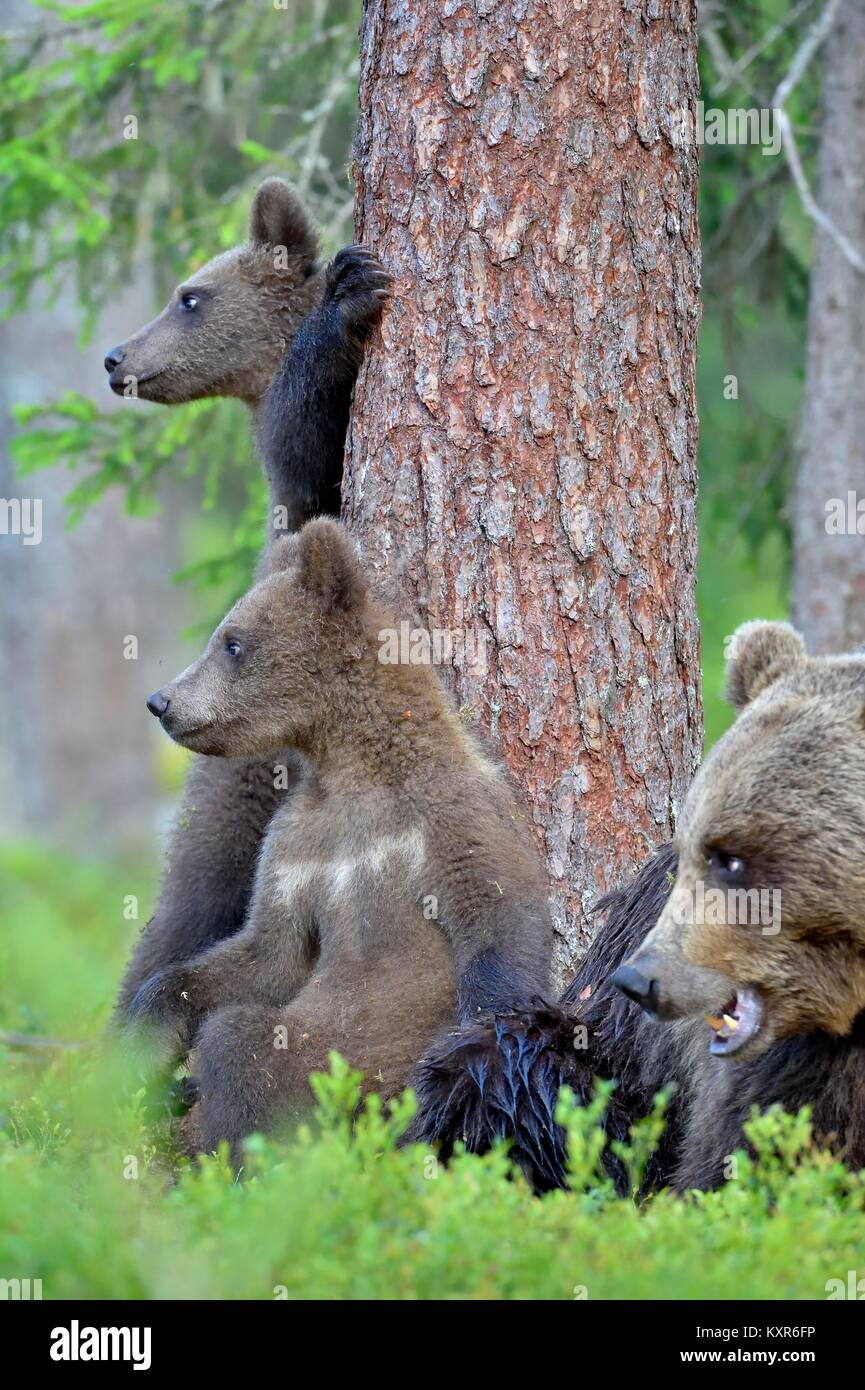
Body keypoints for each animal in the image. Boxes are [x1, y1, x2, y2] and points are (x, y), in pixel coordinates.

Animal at [111, 180, 391, 1016]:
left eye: (188, 296)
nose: (114, 356)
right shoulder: (301, 482)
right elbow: (307, 449)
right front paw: (351, 289)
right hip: (237, 789)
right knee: (192, 901)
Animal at [131, 518, 554, 1157]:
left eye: (232, 642)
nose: (162, 701)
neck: (354, 765)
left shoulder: (451, 814)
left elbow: (500, 917)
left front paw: (475, 1069)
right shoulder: (298, 840)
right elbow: (266, 952)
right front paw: (146, 1030)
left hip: (349, 1067)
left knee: (242, 1042)